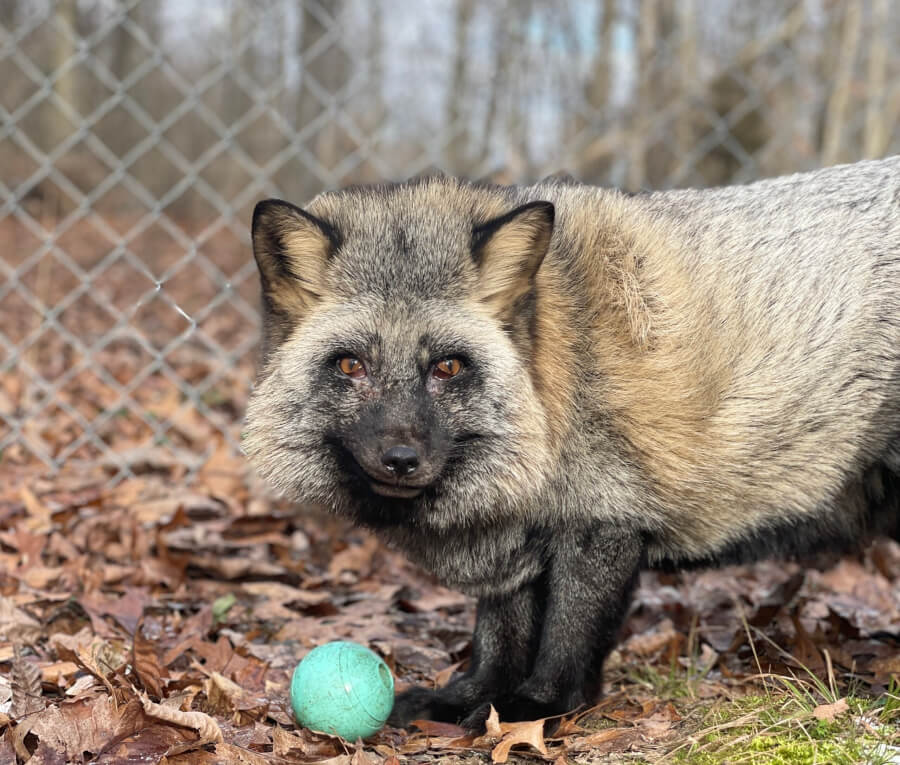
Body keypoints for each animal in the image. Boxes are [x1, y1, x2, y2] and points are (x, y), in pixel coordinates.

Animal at [243, 157, 900, 729]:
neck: (566, 375)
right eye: (351, 365)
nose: (401, 460)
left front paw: (535, 710)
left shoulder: (604, 522)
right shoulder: (513, 544)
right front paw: (470, 699)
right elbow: (498, 640)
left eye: (448, 368)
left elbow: (567, 641)